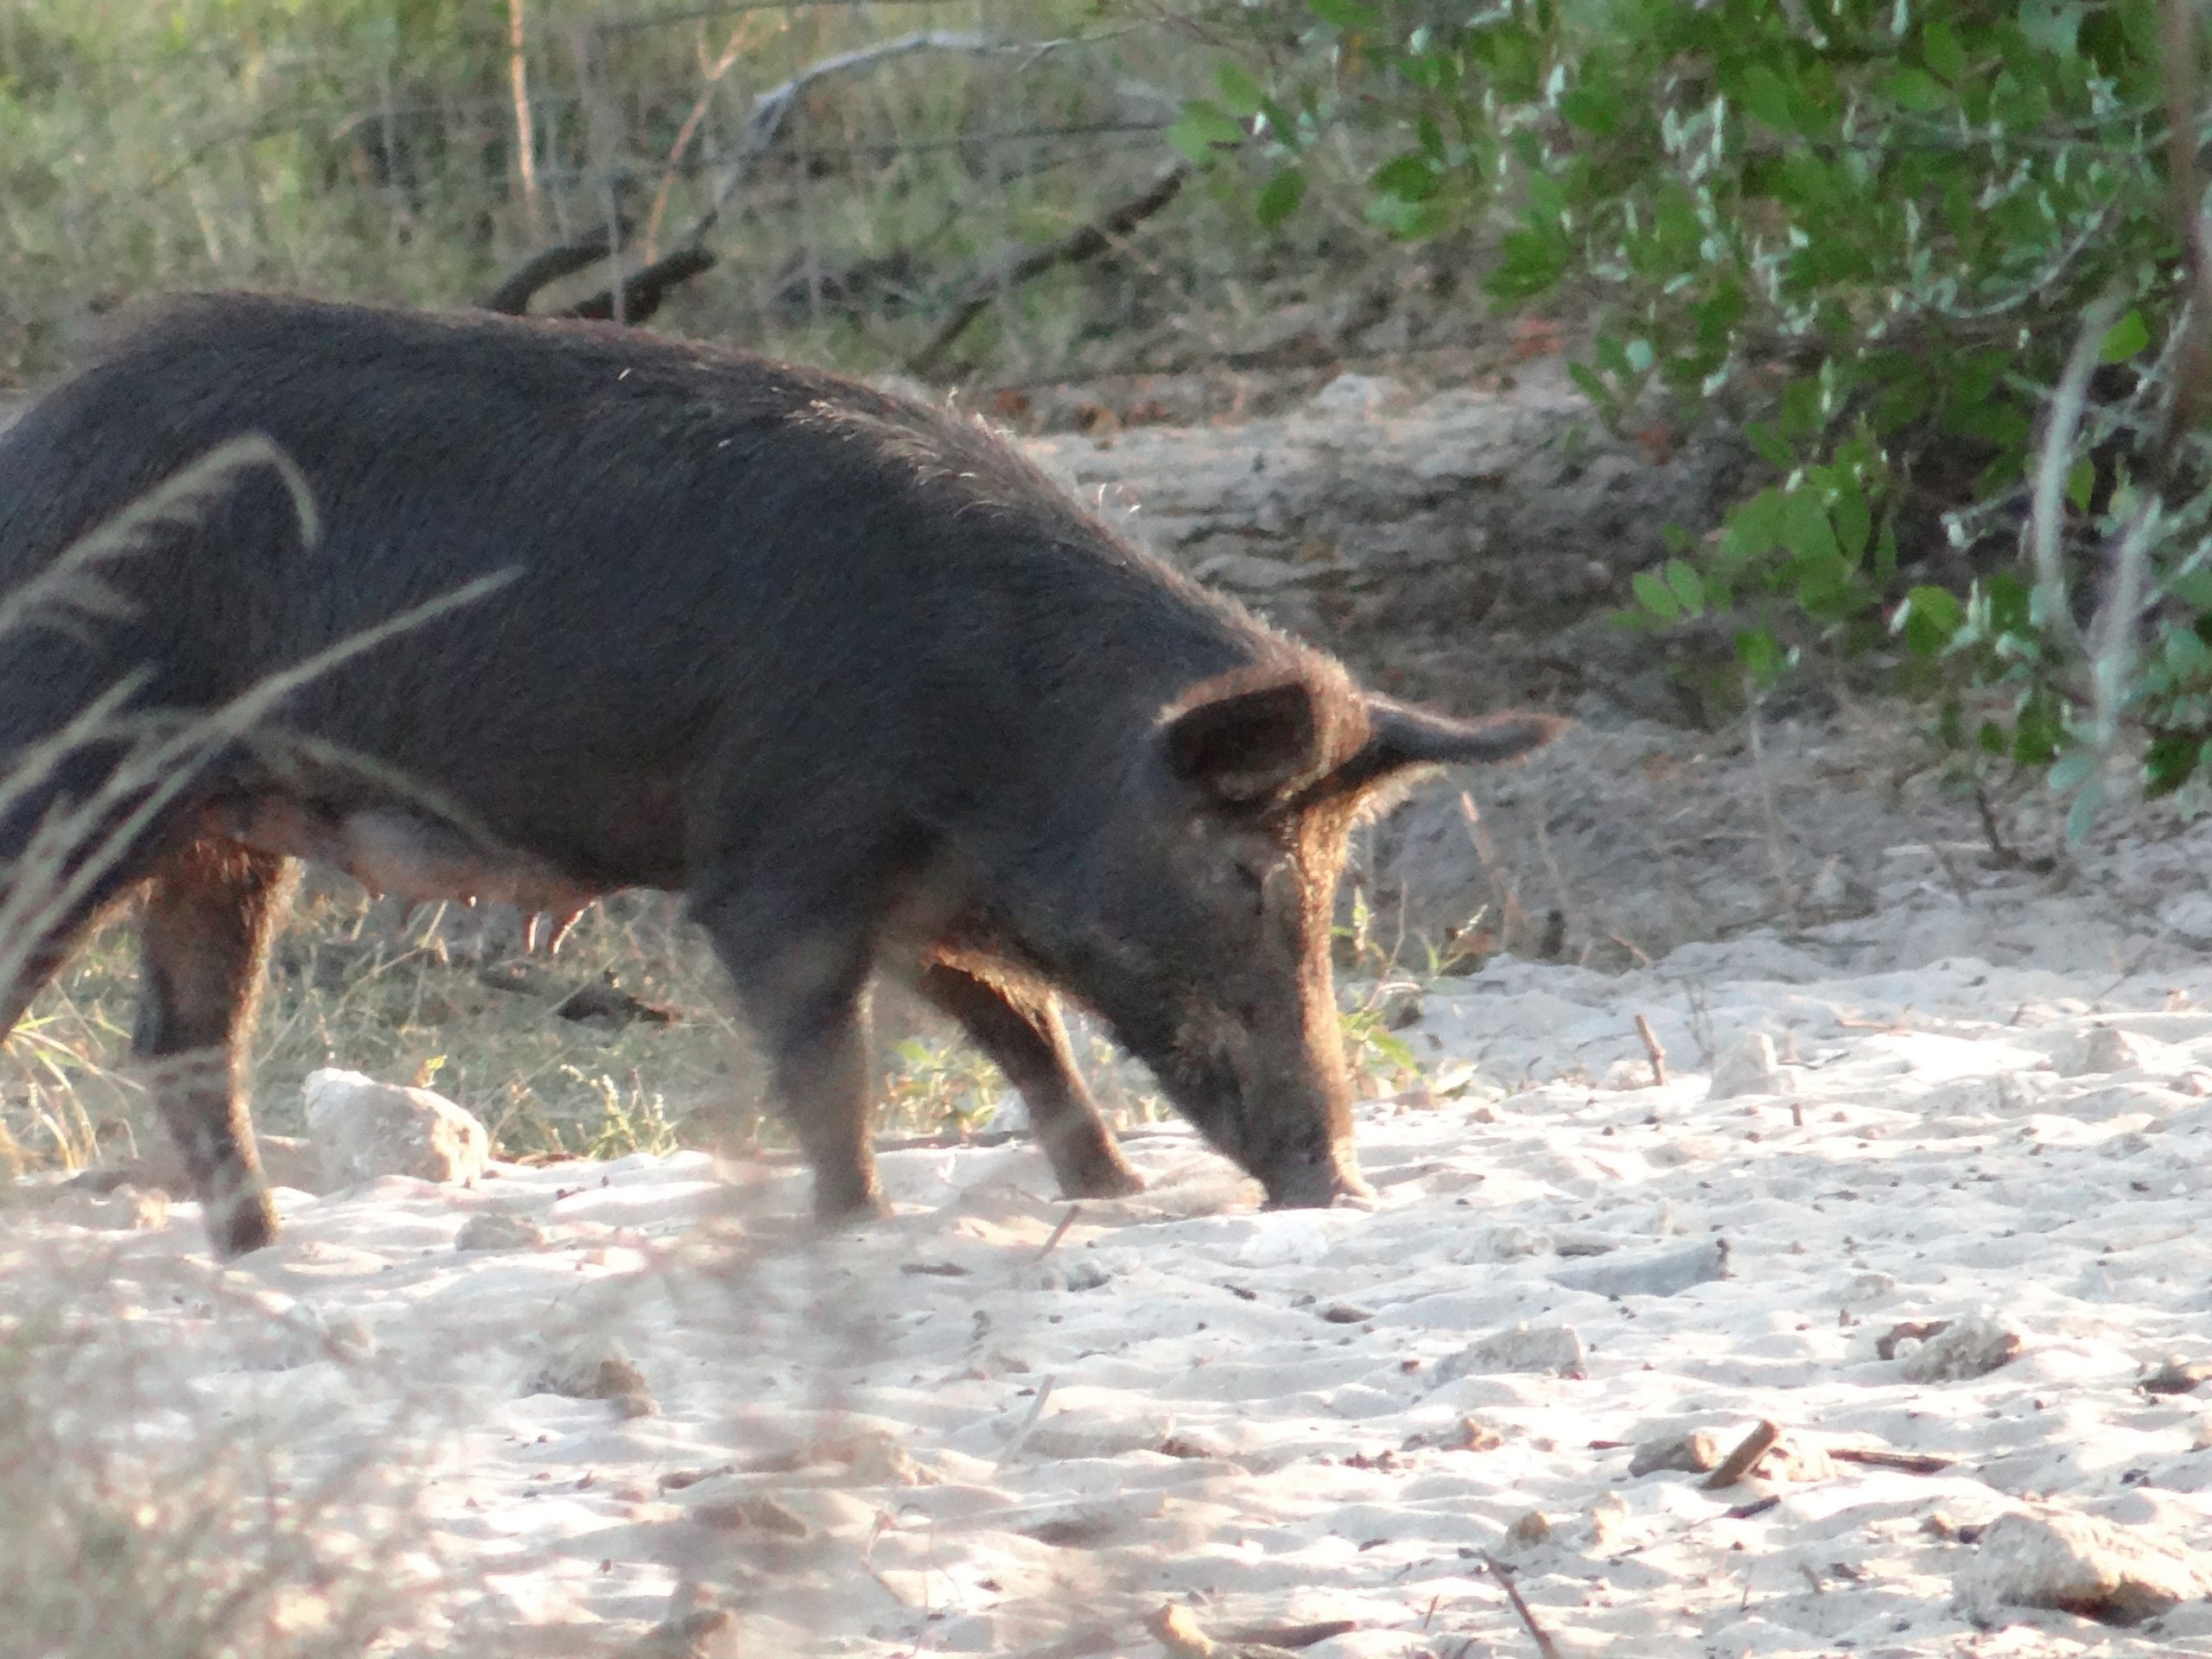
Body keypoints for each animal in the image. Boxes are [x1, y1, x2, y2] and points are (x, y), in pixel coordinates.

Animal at [0, 293, 1562, 1256]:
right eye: (1244, 870)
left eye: (1327, 876)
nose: (1333, 1179)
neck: (1004, 723)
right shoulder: (774, 860)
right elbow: (832, 1058)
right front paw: (861, 1224)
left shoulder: (919, 889)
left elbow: (1015, 1028)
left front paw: (1111, 1192)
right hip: (75, 784)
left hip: (223, 829)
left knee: (185, 1040)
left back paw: (264, 1252)